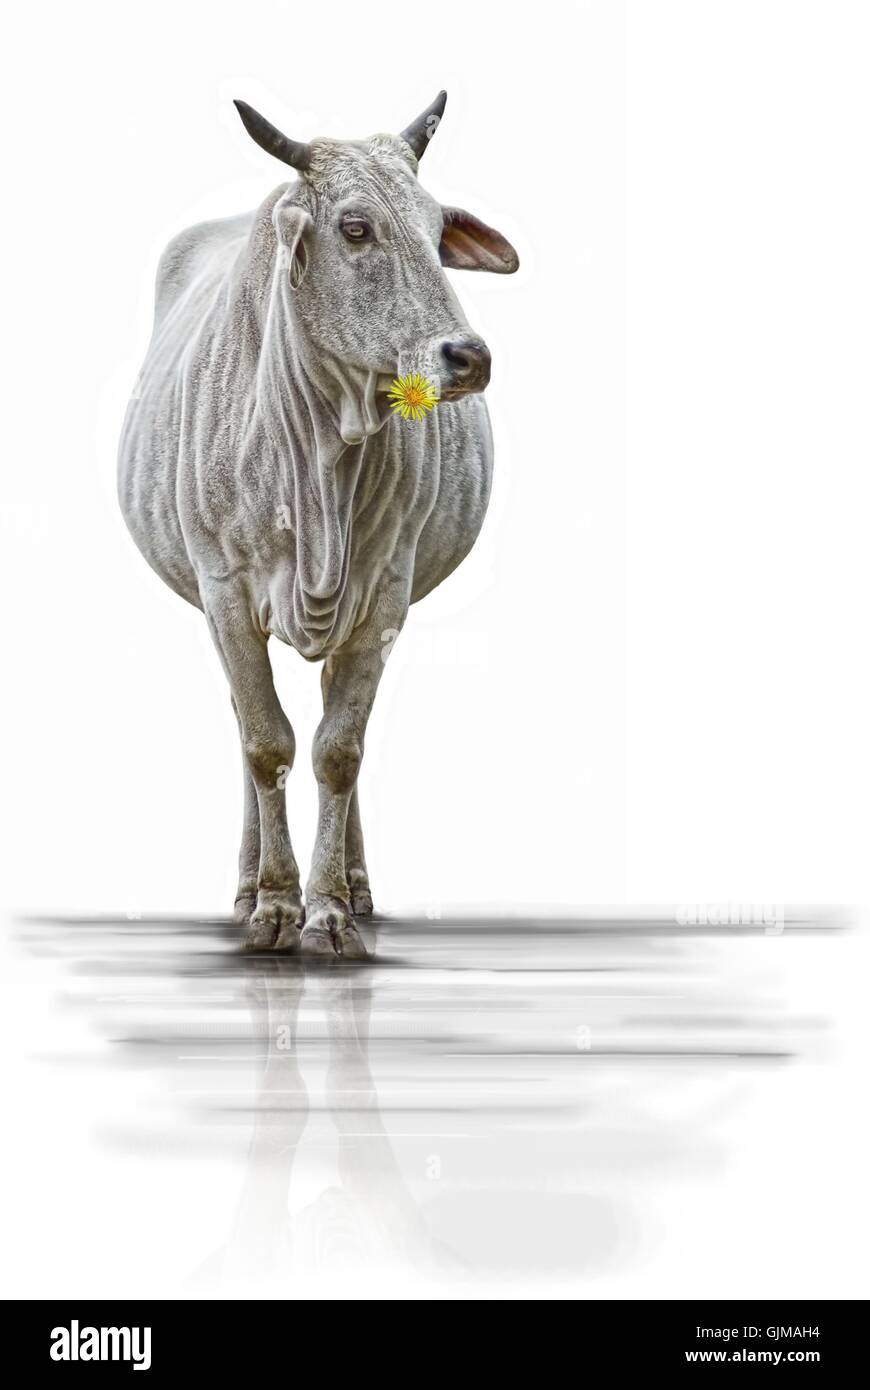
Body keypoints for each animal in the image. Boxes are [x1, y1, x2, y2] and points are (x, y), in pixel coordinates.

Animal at [118, 92, 519, 957]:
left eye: (436, 228)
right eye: (356, 227)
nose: (468, 358)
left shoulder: (385, 598)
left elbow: (340, 749)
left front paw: (330, 911)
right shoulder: (226, 595)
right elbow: (265, 742)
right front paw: (275, 905)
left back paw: (359, 888)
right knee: (247, 727)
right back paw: (246, 888)